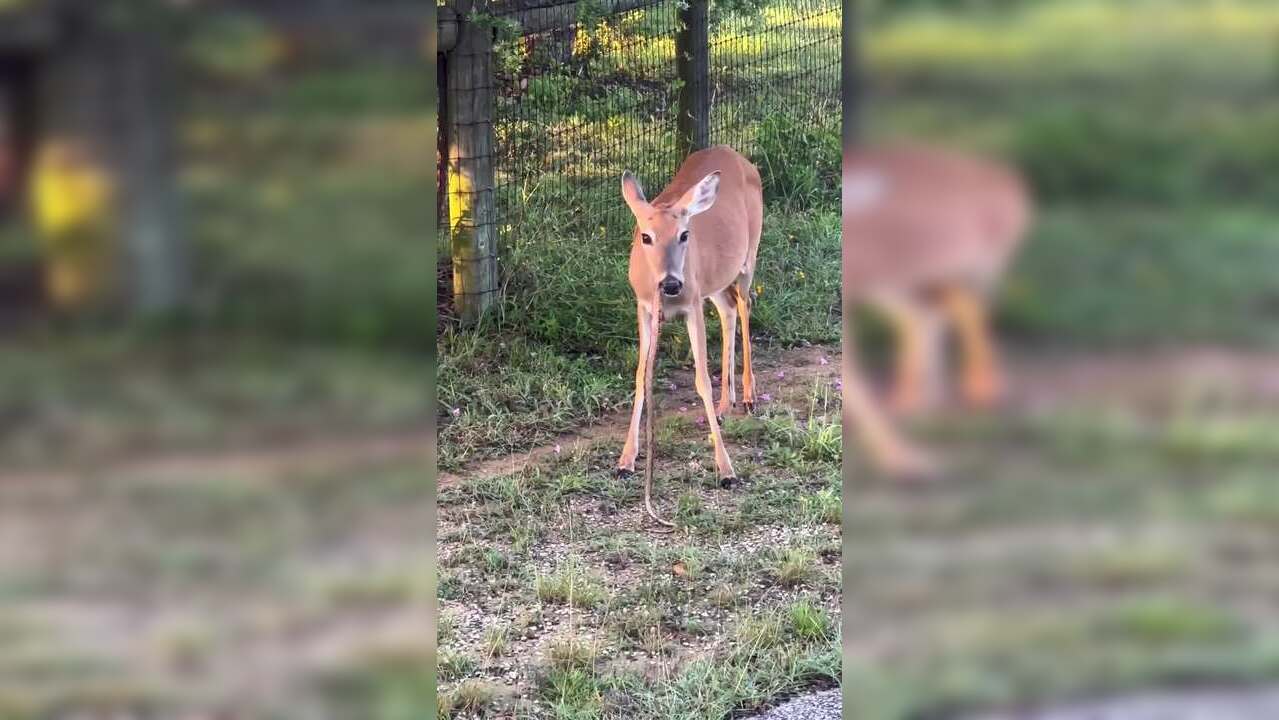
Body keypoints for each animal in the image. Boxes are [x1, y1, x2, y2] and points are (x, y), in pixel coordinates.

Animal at [615, 145, 763, 509]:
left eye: (684, 234)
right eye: (646, 236)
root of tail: (737, 154)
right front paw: (625, 460)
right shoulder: (644, 307)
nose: (671, 283)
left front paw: (727, 470)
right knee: (728, 310)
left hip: (748, 256)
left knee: (745, 305)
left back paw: (749, 396)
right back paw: (726, 406)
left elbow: (701, 381)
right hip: (715, 281)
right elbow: (640, 376)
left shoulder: (692, 304)